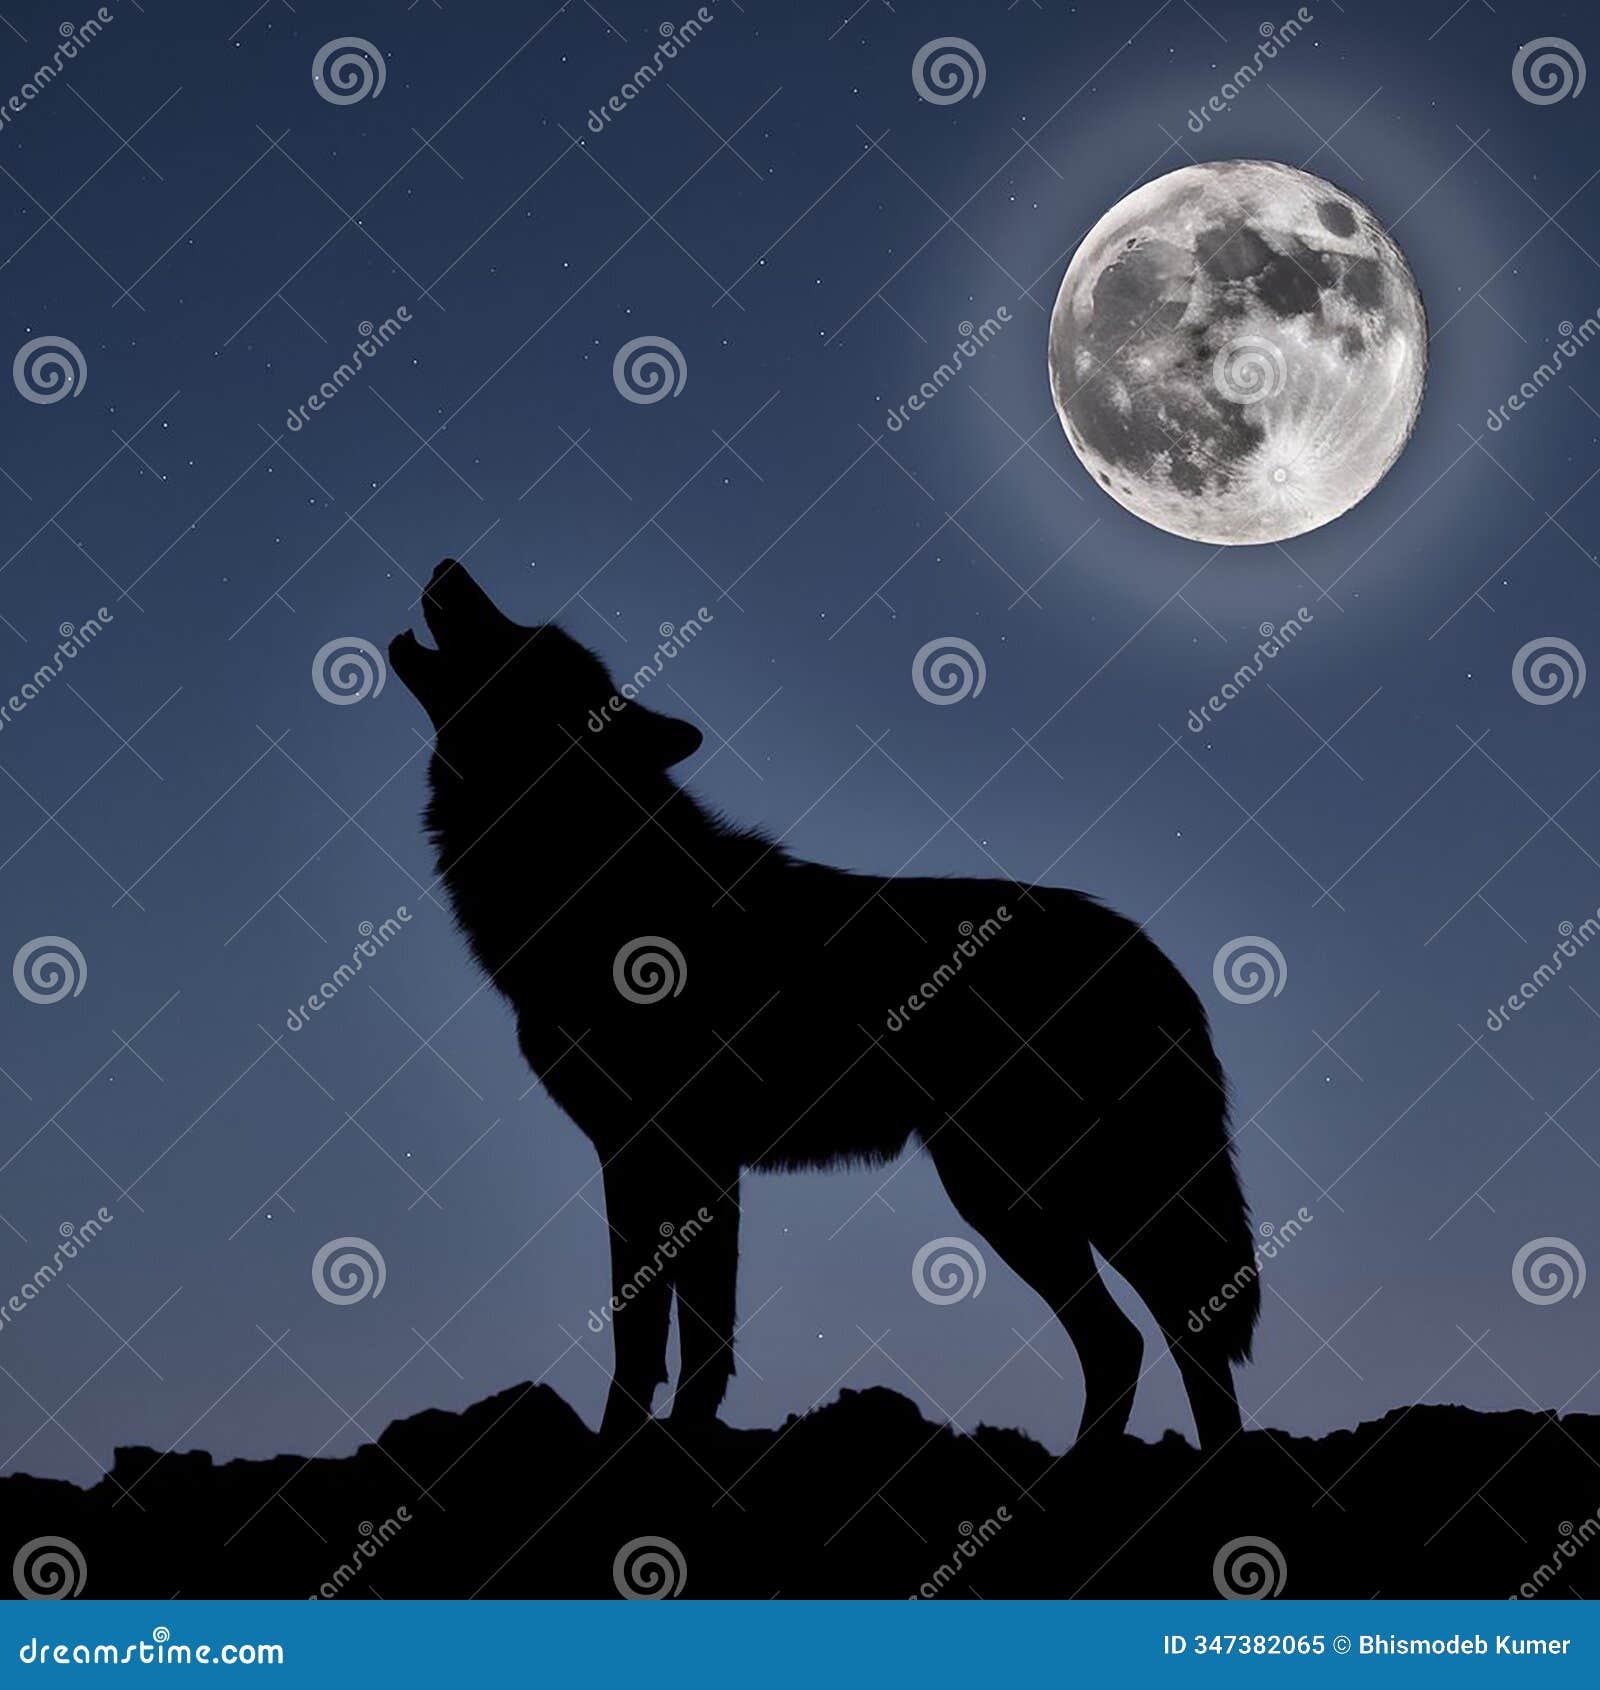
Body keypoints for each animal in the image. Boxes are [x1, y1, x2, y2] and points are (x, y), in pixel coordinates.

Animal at [390, 560, 1258, 1449]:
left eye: (529, 645)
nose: (449, 568)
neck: (593, 878)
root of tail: (1153, 957)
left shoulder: (674, 1152)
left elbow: (665, 1330)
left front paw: (642, 1442)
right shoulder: (660, 1157)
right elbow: (681, 1326)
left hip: (1062, 1190)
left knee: (1177, 1328)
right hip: (1011, 1193)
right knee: (1127, 1340)